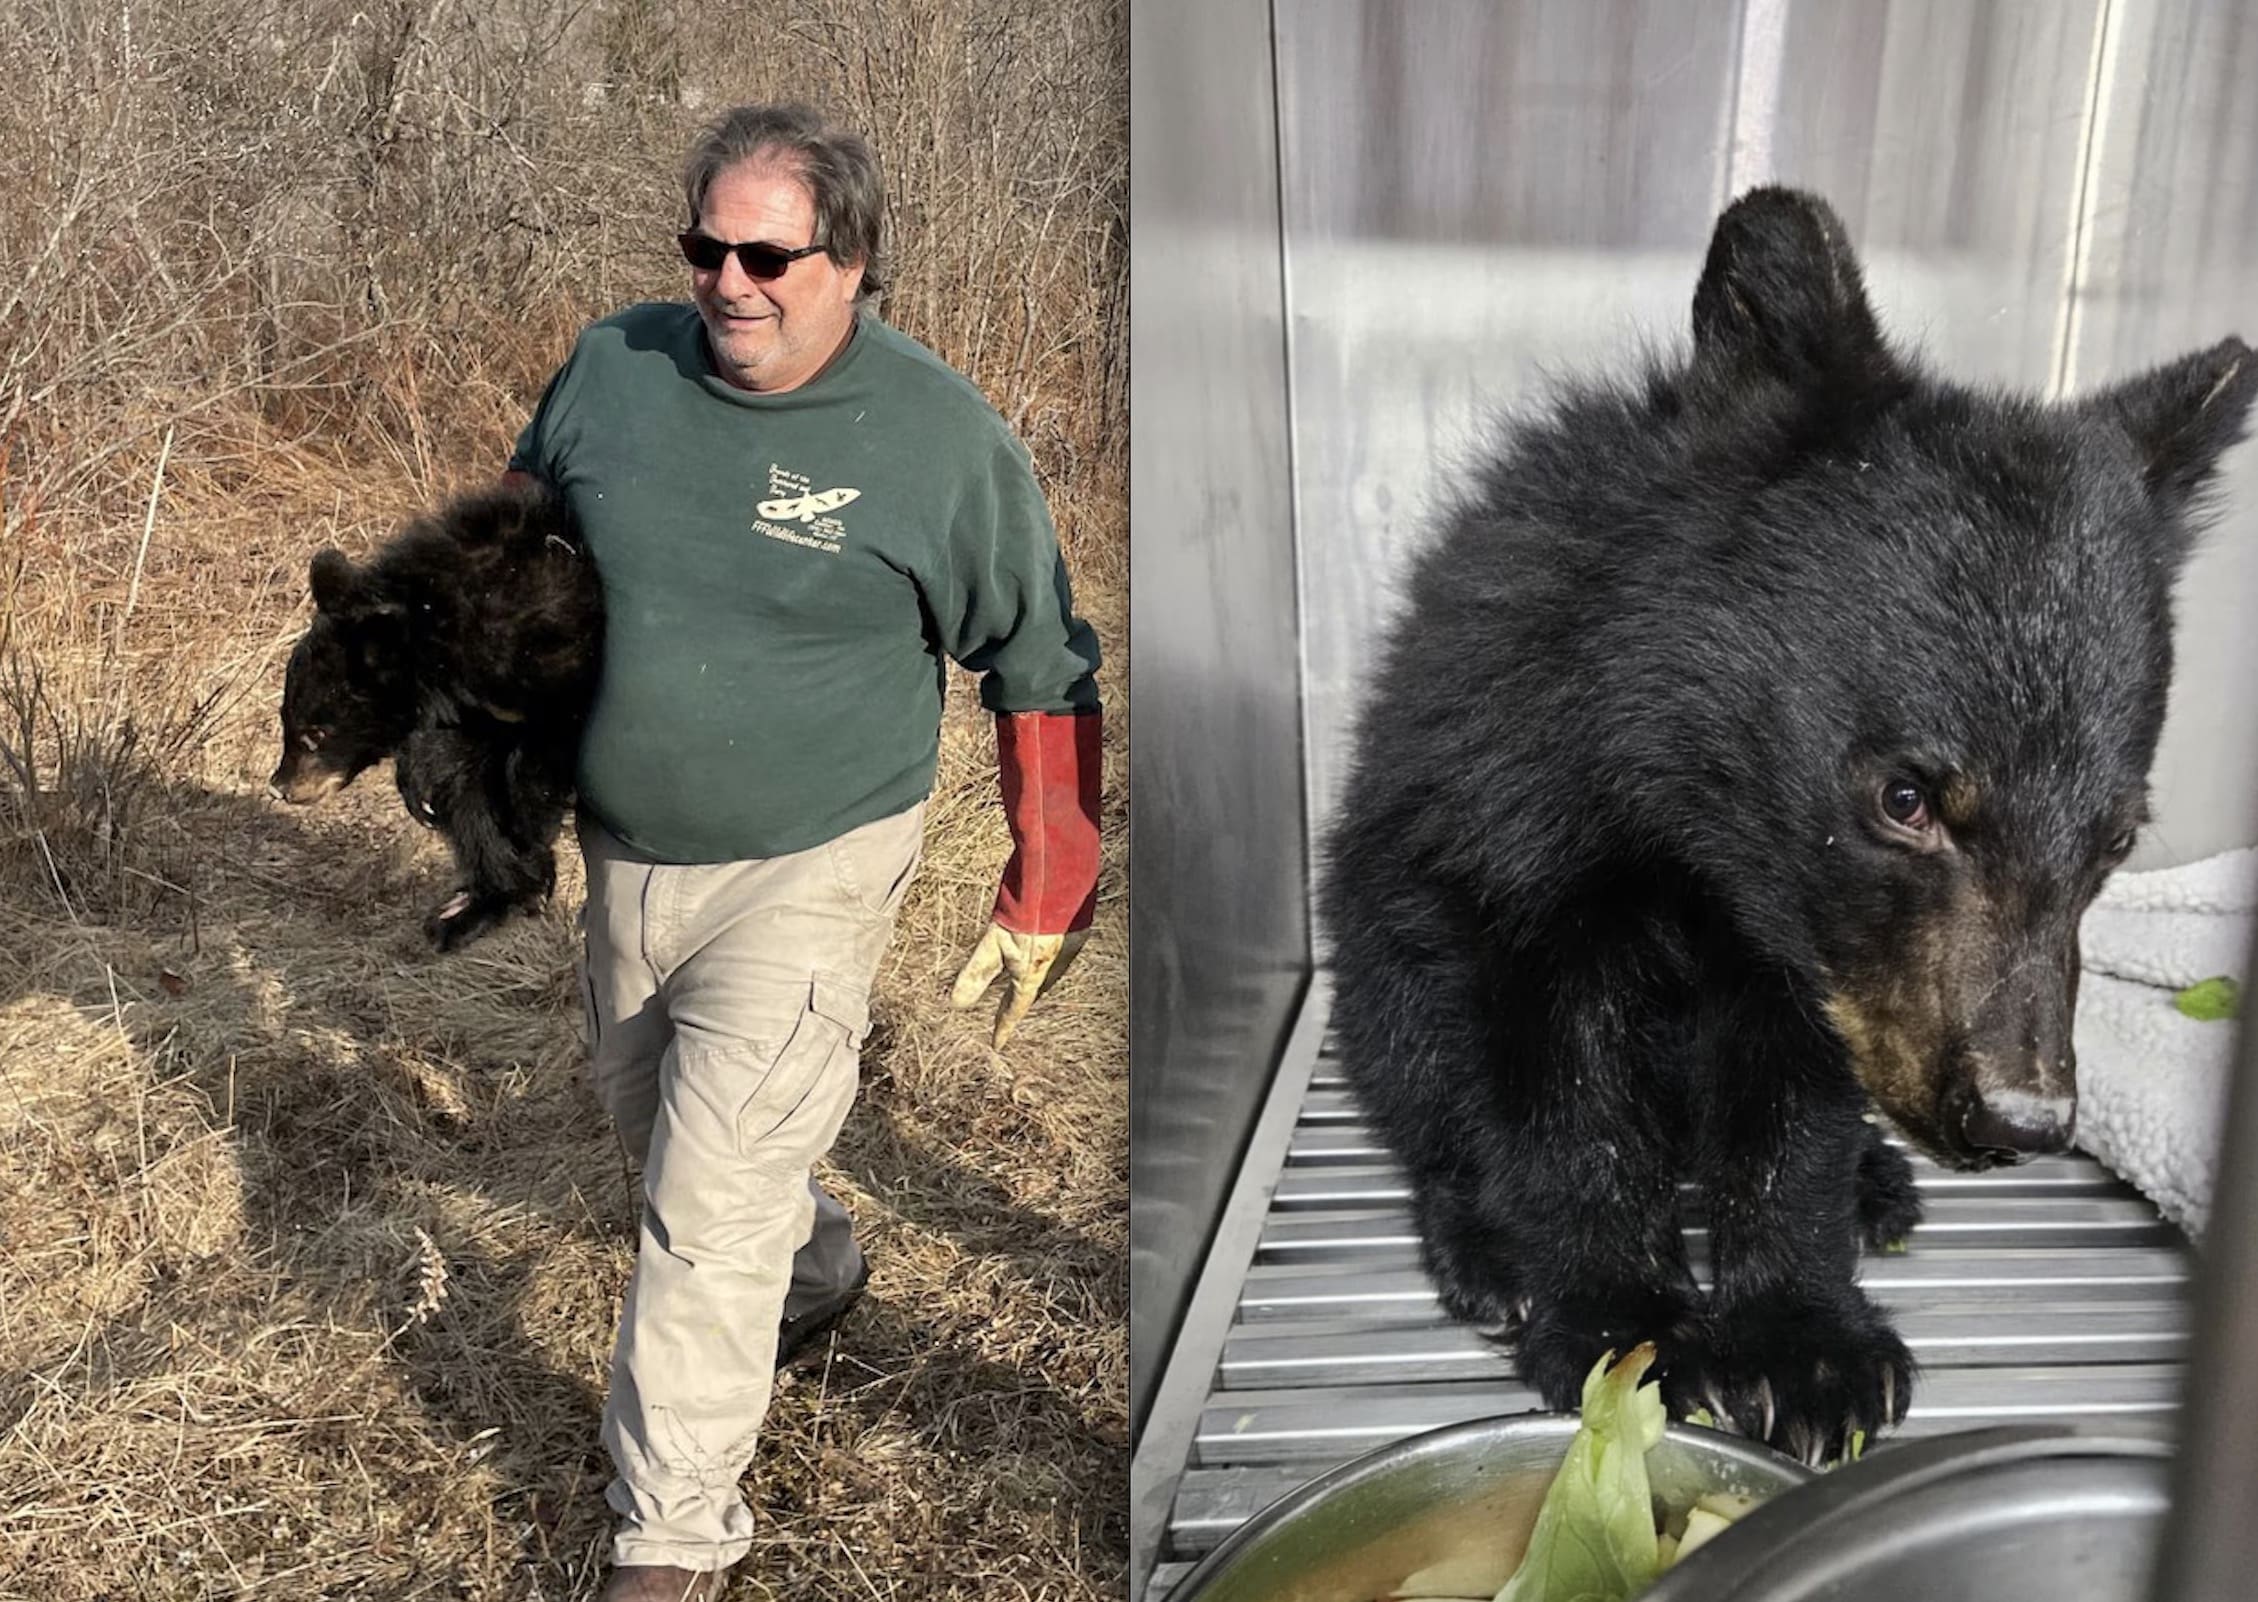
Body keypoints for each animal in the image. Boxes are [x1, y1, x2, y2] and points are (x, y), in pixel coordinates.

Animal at [268, 477, 604, 951]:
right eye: (286, 720)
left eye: (315, 734)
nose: (280, 787)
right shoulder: (476, 714)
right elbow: (460, 782)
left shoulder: (561, 659)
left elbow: (543, 748)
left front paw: (526, 834)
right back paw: (463, 913)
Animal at [1319, 186, 2255, 1465]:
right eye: (1904, 797)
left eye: (2113, 840)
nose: (2016, 1120)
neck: (1696, 819)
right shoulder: (1526, 820)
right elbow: (1559, 1074)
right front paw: (1625, 1330)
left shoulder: (1827, 959)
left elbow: (1792, 1104)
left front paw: (1809, 1349)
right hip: (1379, 928)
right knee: (1421, 1065)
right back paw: (1487, 1248)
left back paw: (1875, 1185)